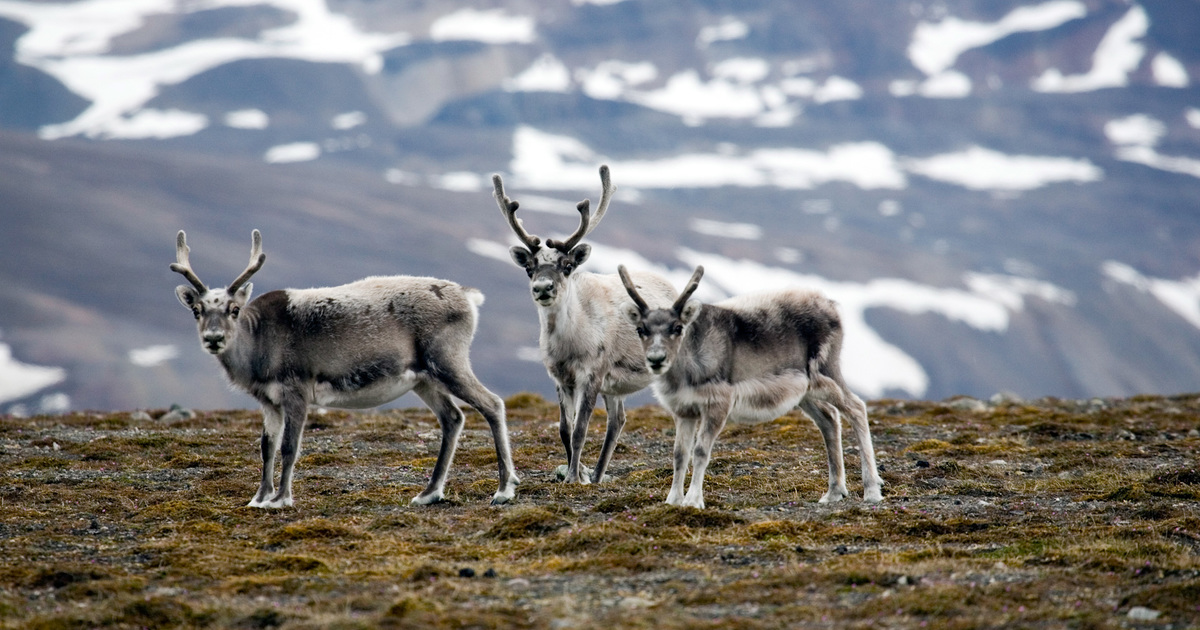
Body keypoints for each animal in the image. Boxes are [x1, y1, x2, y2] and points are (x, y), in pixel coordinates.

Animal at [170, 229, 518, 508]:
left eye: (234, 309)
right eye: (197, 310)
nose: (213, 339)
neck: (257, 343)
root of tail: (468, 296)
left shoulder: (297, 390)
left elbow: (289, 447)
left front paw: (280, 499)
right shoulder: (268, 400)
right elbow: (266, 447)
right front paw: (258, 498)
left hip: (448, 362)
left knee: (492, 404)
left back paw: (504, 489)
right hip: (423, 379)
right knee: (453, 418)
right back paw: (429, 492)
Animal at [491, 165, 677, 484]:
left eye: (567, 266)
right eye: (529, 268)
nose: (542, 288)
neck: (569, 343)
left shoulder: (592, 373)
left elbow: (580, 429)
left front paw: (572, 479)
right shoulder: (560, 378)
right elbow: (565, 430)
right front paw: (576, 473)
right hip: (613, 386)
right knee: (618, 420)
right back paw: (599, 475)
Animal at [618, 264, 883, 509]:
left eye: (677, 327)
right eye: (641, 329)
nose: (656, 359)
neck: (684, 369)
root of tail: (832, 306)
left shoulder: (718, 404)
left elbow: (701, 451)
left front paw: (693, 501)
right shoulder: (683, 410)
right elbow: (679, 454)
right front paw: (672, 500)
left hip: (827, 372)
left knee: (856, 408)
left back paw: (871, 489)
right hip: (805, 393)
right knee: (829, 419)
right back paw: (834, 491)